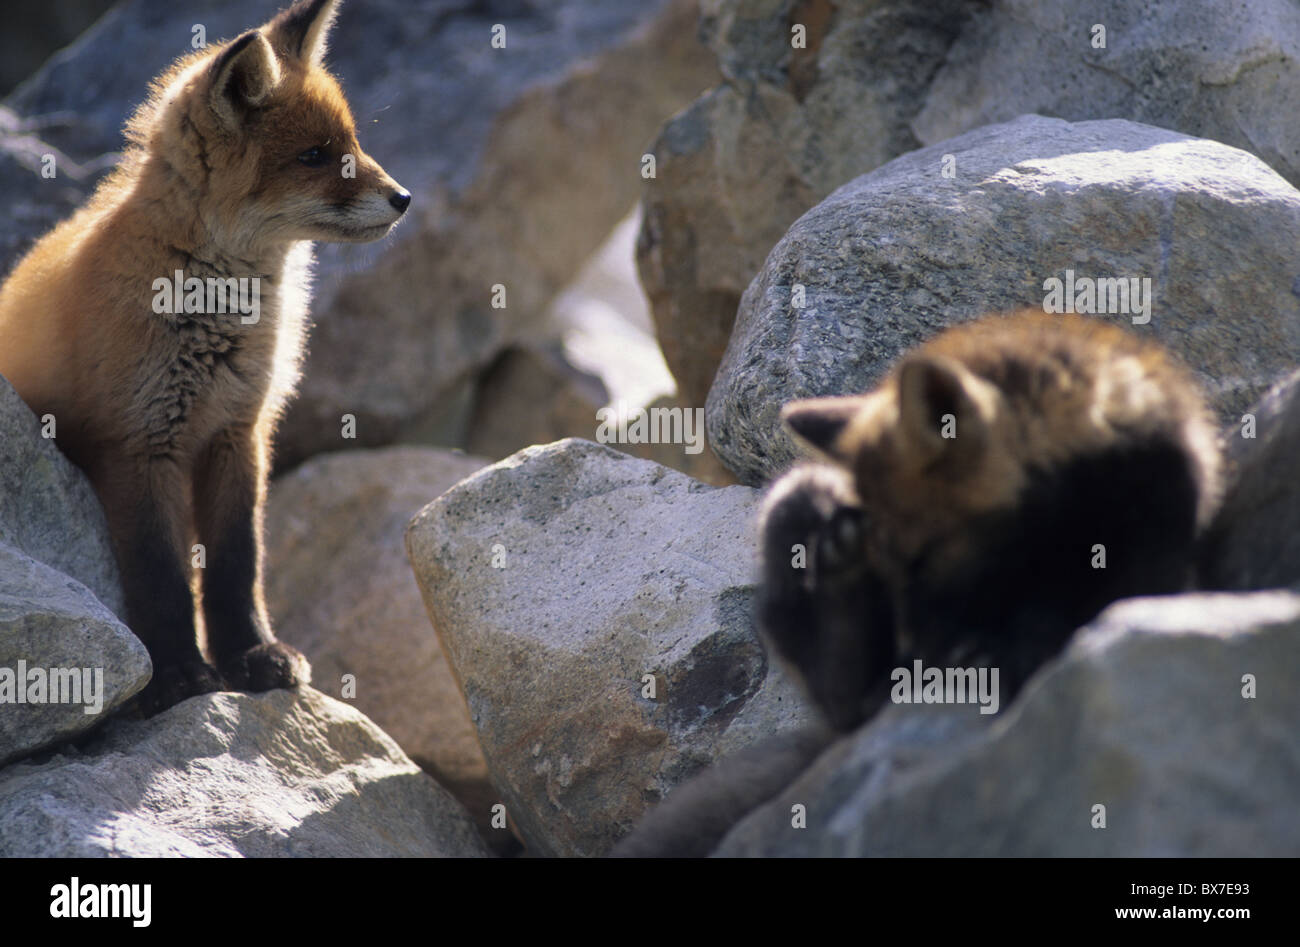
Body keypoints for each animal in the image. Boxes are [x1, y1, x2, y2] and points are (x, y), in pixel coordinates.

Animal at [0, 0, 410, 713]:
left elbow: (235, 564)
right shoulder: (138, 445)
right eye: (315, 156)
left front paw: (251, 655)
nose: (404, 198)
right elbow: (162, 576)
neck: (217, 329)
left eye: (354, 145)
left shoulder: (240, 431)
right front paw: (180, 675)